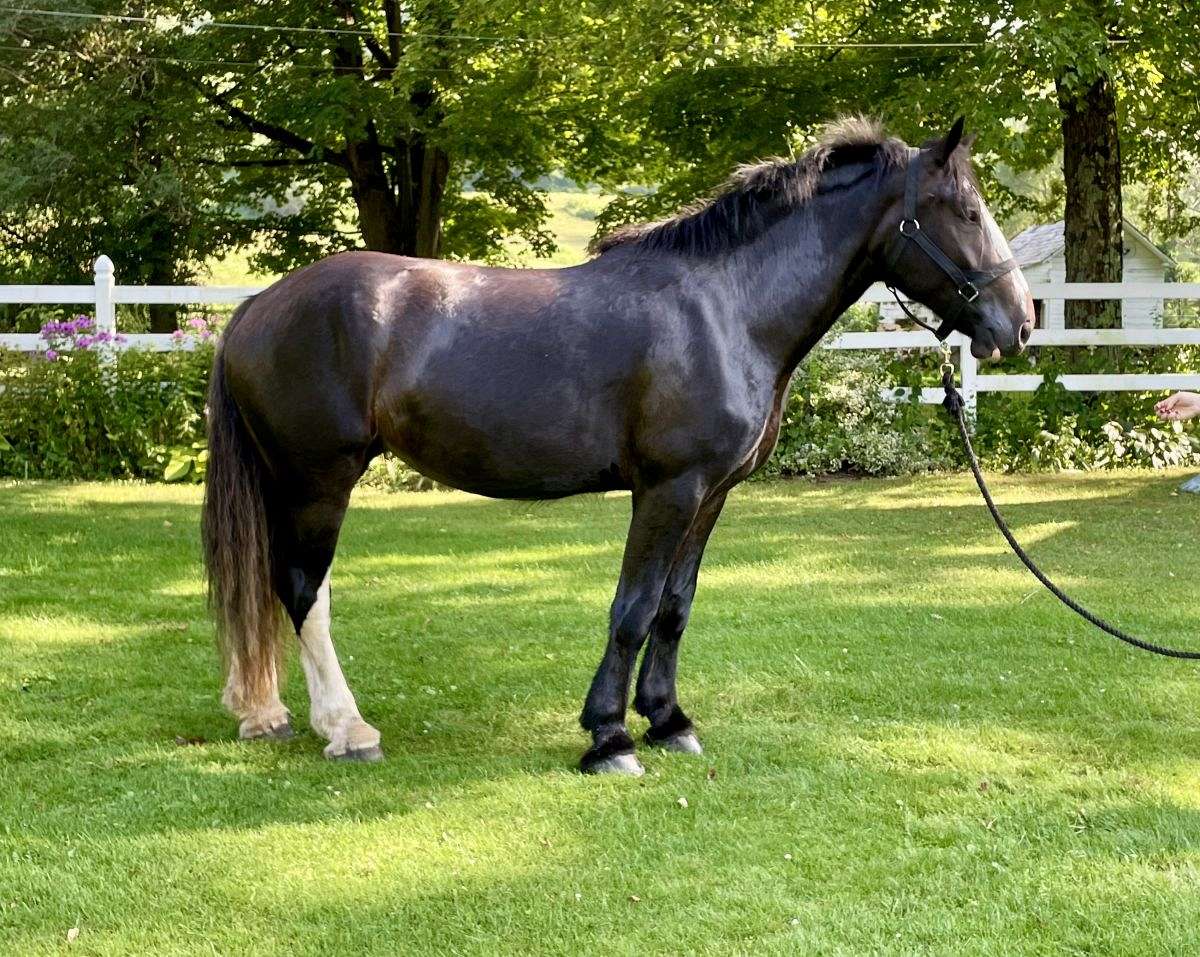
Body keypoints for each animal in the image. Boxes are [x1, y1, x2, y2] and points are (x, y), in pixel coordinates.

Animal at [202, 116, 1034, 775]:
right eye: (966, 210)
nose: (1019, 321)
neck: (726, 306)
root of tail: (254, 306)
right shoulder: (668, 488)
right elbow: (632, 609)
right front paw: (609, 737)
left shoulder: (711, 492)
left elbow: (674, 606)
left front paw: (668, 720)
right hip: (319, 479)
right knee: (304, 589)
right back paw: (349, 730)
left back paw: (270, 712)